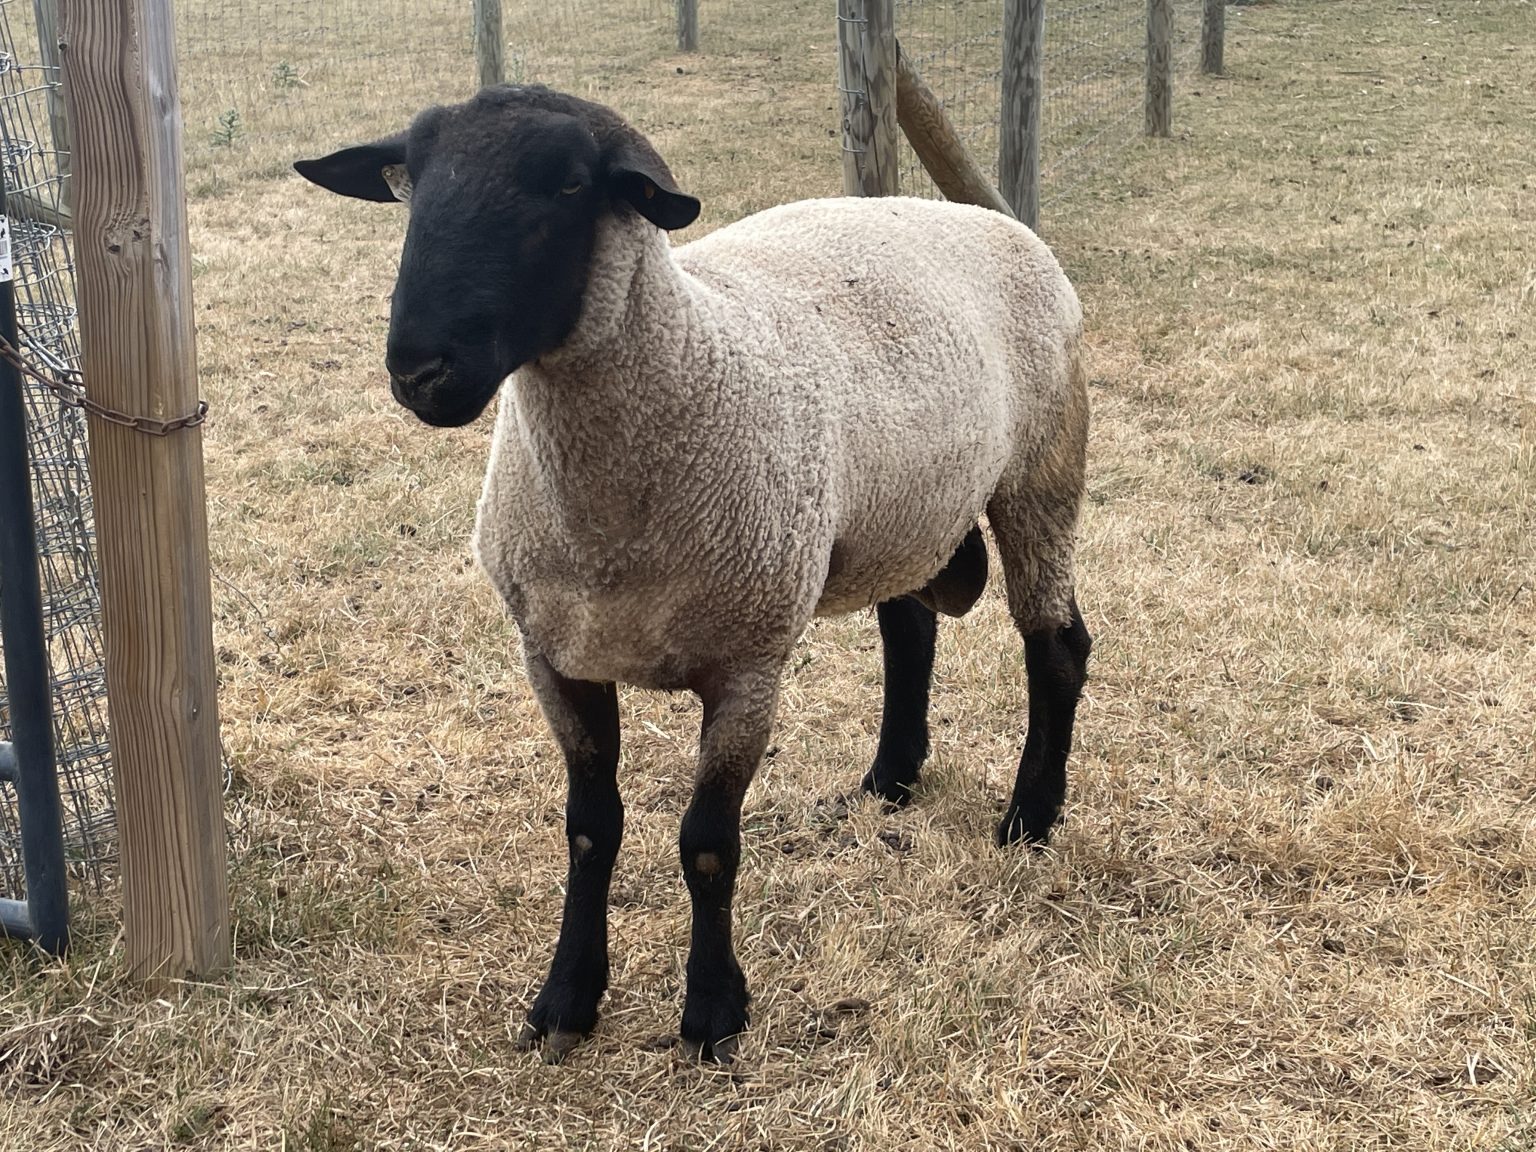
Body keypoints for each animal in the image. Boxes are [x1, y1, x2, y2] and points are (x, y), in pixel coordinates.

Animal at [294, 83, 1092, 1064]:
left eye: (568, 185)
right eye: (408, 183)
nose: (420, 371)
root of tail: (988, 218)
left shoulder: (746, 668)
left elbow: (707, 844)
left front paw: (713, 1010)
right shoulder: (556, 661)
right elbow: (590, 831)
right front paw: (566, 999)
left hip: (1042, 472)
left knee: (1055, 648)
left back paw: (1029, 819)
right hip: (895, 511)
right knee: (909, 627)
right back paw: (891, 777)